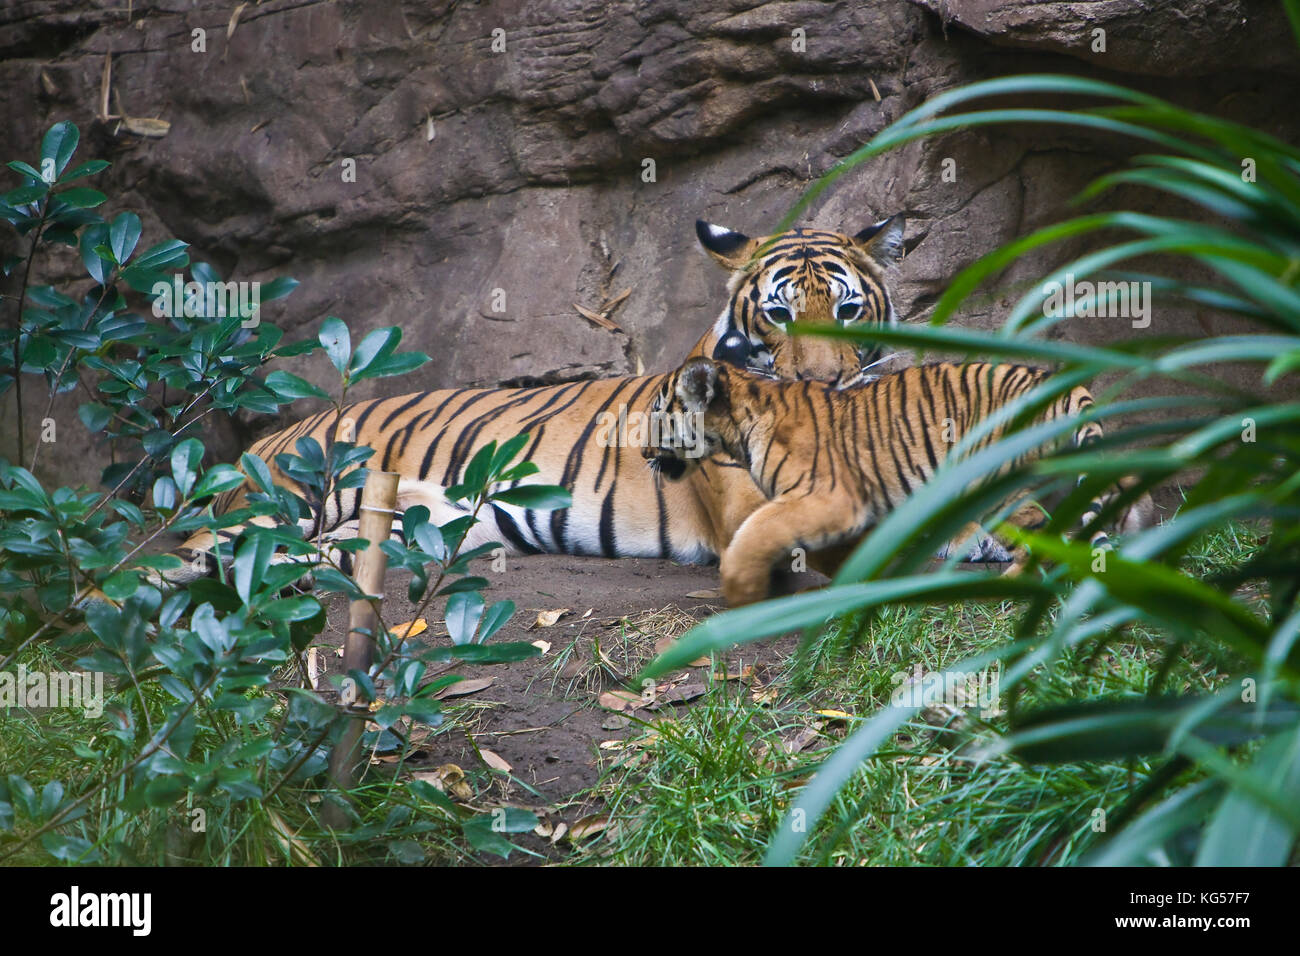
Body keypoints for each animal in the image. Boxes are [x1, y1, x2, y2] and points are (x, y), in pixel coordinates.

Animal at [161, 216, 908, 584]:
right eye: (780, 315)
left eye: (848, 310)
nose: (822, 383)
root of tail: (264, 438)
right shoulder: (752, 510)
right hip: (288, 497)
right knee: (178, 554)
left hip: (386, 533)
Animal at [640, 356, 1157, 607]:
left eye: (659, 413)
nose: (643, 455)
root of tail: (1065, 386)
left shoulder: (827, 497)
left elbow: (755, 531)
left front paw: (740, 591)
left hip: (993, 485)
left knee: (1043, 539)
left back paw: (1007, 585)